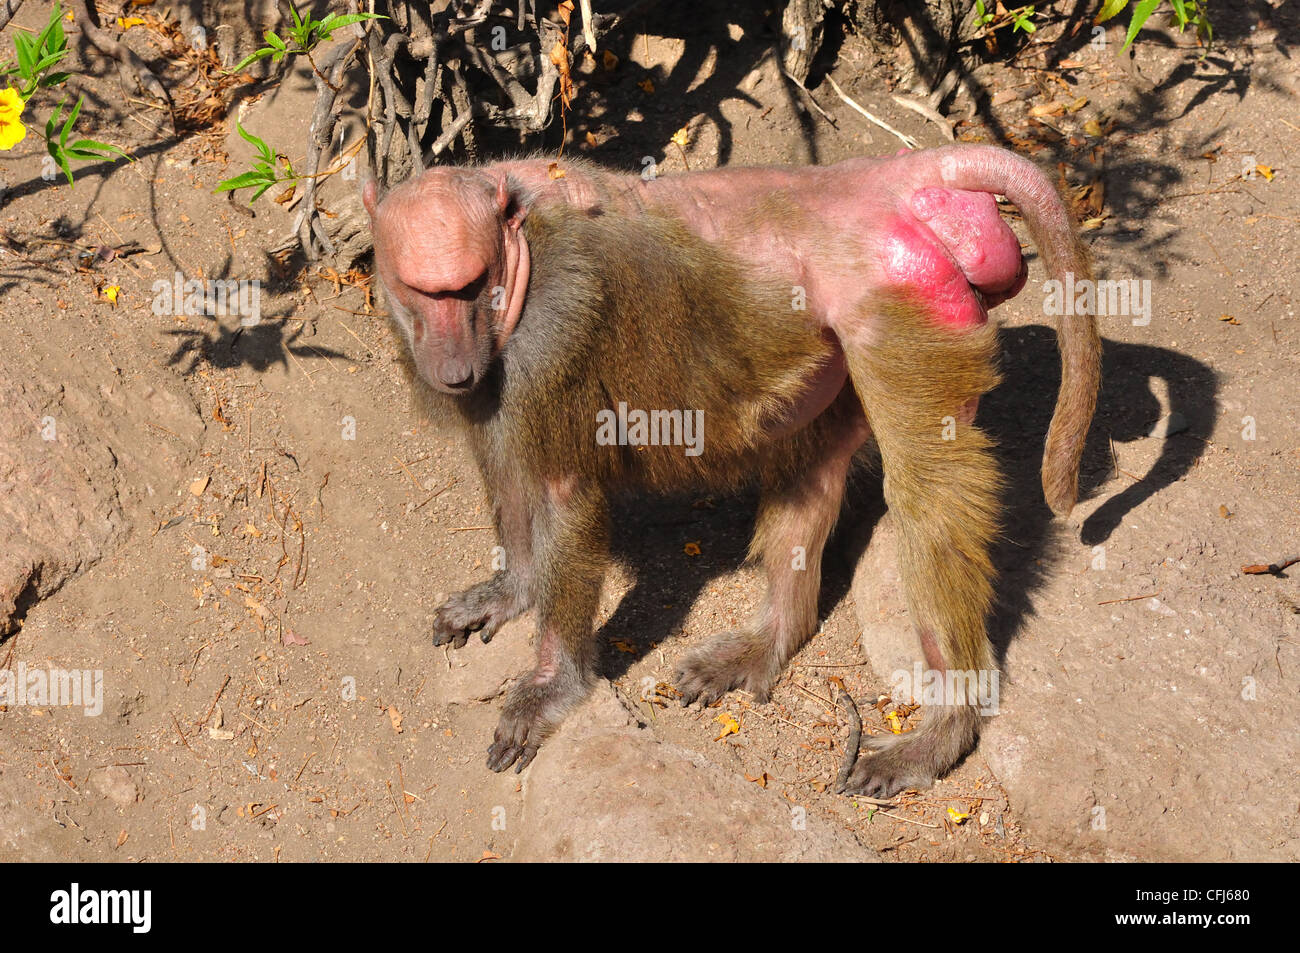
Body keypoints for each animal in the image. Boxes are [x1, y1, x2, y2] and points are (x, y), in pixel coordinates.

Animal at [362, 144, 1101, 797]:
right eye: (422, 293)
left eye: (466, 288)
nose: (454, 370)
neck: (522, 237)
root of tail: (871, 180)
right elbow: (503, 460)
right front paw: (511, 589)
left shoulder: (550, 331)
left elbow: (562, 493)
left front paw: (551, 687)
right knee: (815, 471)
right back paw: (772, 642)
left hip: (903, 297)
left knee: (926, 499)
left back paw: (947, 728)